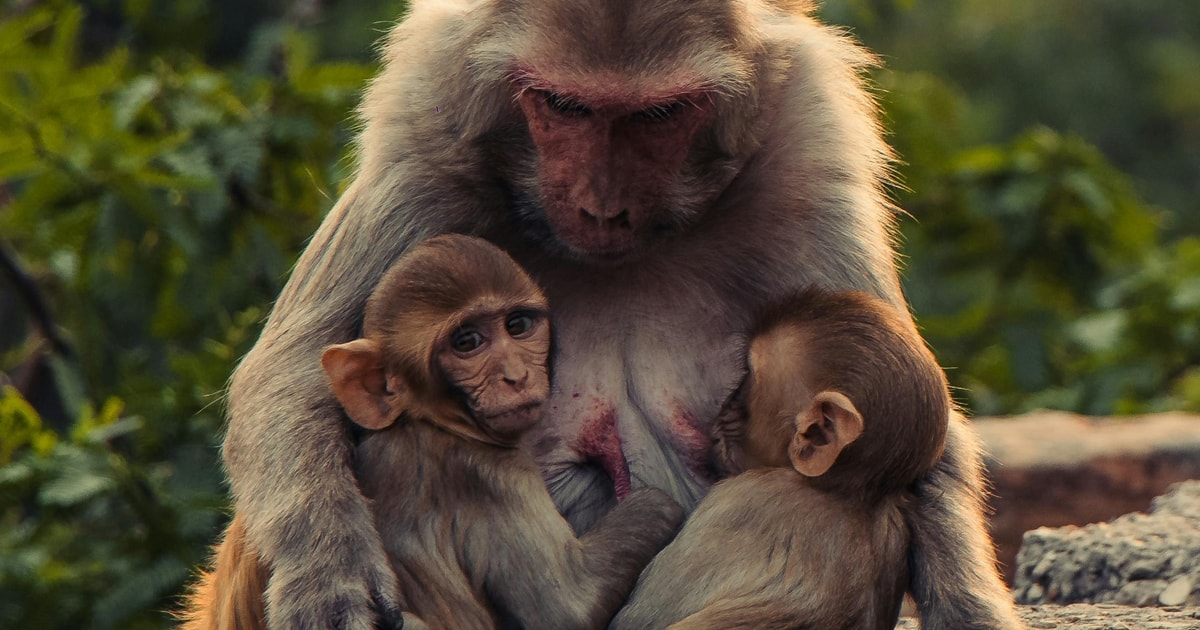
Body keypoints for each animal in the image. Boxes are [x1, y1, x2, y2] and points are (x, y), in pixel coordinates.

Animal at [181, 234, 684, 630]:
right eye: (468, 342)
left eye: (518, 325)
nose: (517, 376)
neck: (429, 422)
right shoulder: (490, 474)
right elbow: (569, 605)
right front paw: (658, 503)